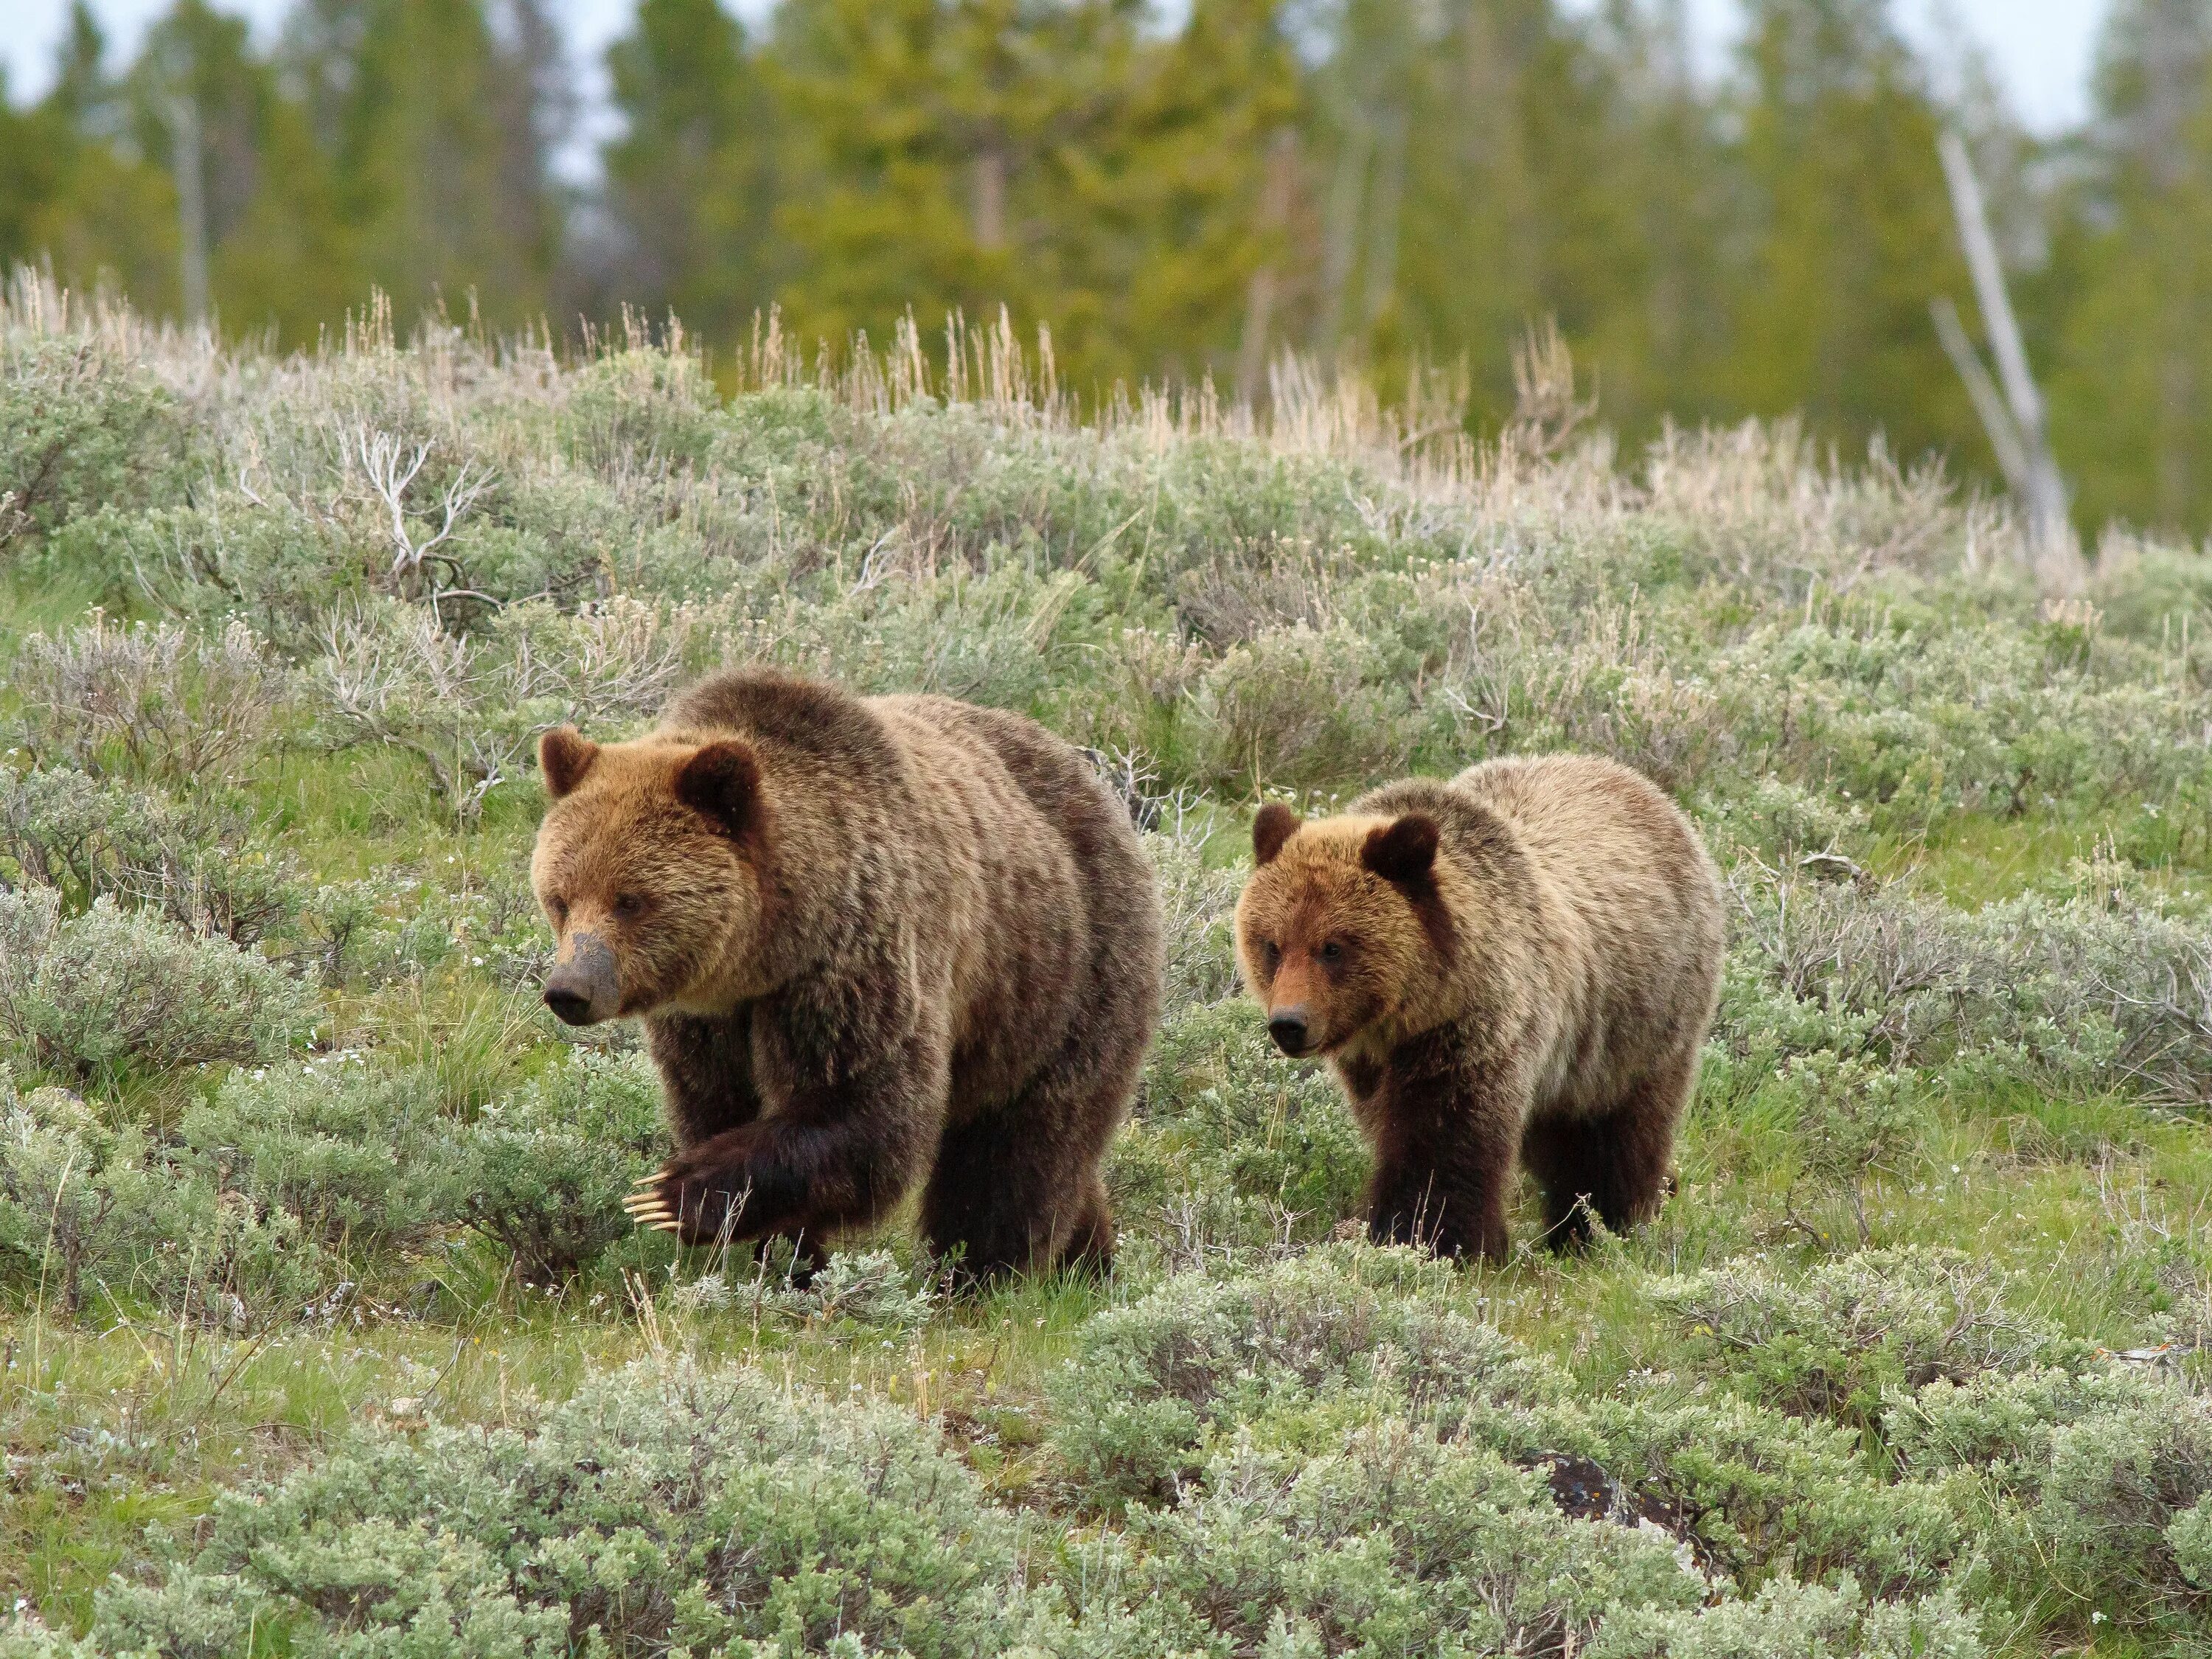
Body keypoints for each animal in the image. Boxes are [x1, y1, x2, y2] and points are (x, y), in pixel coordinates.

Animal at [529, 668, 1168, 1283]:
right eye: (560, 898)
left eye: (630, 900)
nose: (569, 990)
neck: (770, 949)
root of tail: (1093, 782)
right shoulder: (708, 1020)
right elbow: (716, 1103)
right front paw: (785, 1259)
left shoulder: (852, 960)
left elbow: (864, 1111)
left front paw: (675, 1194)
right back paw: (1087, 1264)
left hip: (1061, 977)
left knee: (1016, 1154)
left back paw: (983, 1278)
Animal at [1230, 761, 1725, 1265]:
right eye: (1272, 945)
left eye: (1332, 947)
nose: (1289, 1024)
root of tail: (1652, 793)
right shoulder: (1371, 1068)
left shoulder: (1477, 1033)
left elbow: (1442, 1146)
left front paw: (1431, 1240)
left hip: (1640, 1026)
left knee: (1621, 1134)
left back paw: (1606, 1226)